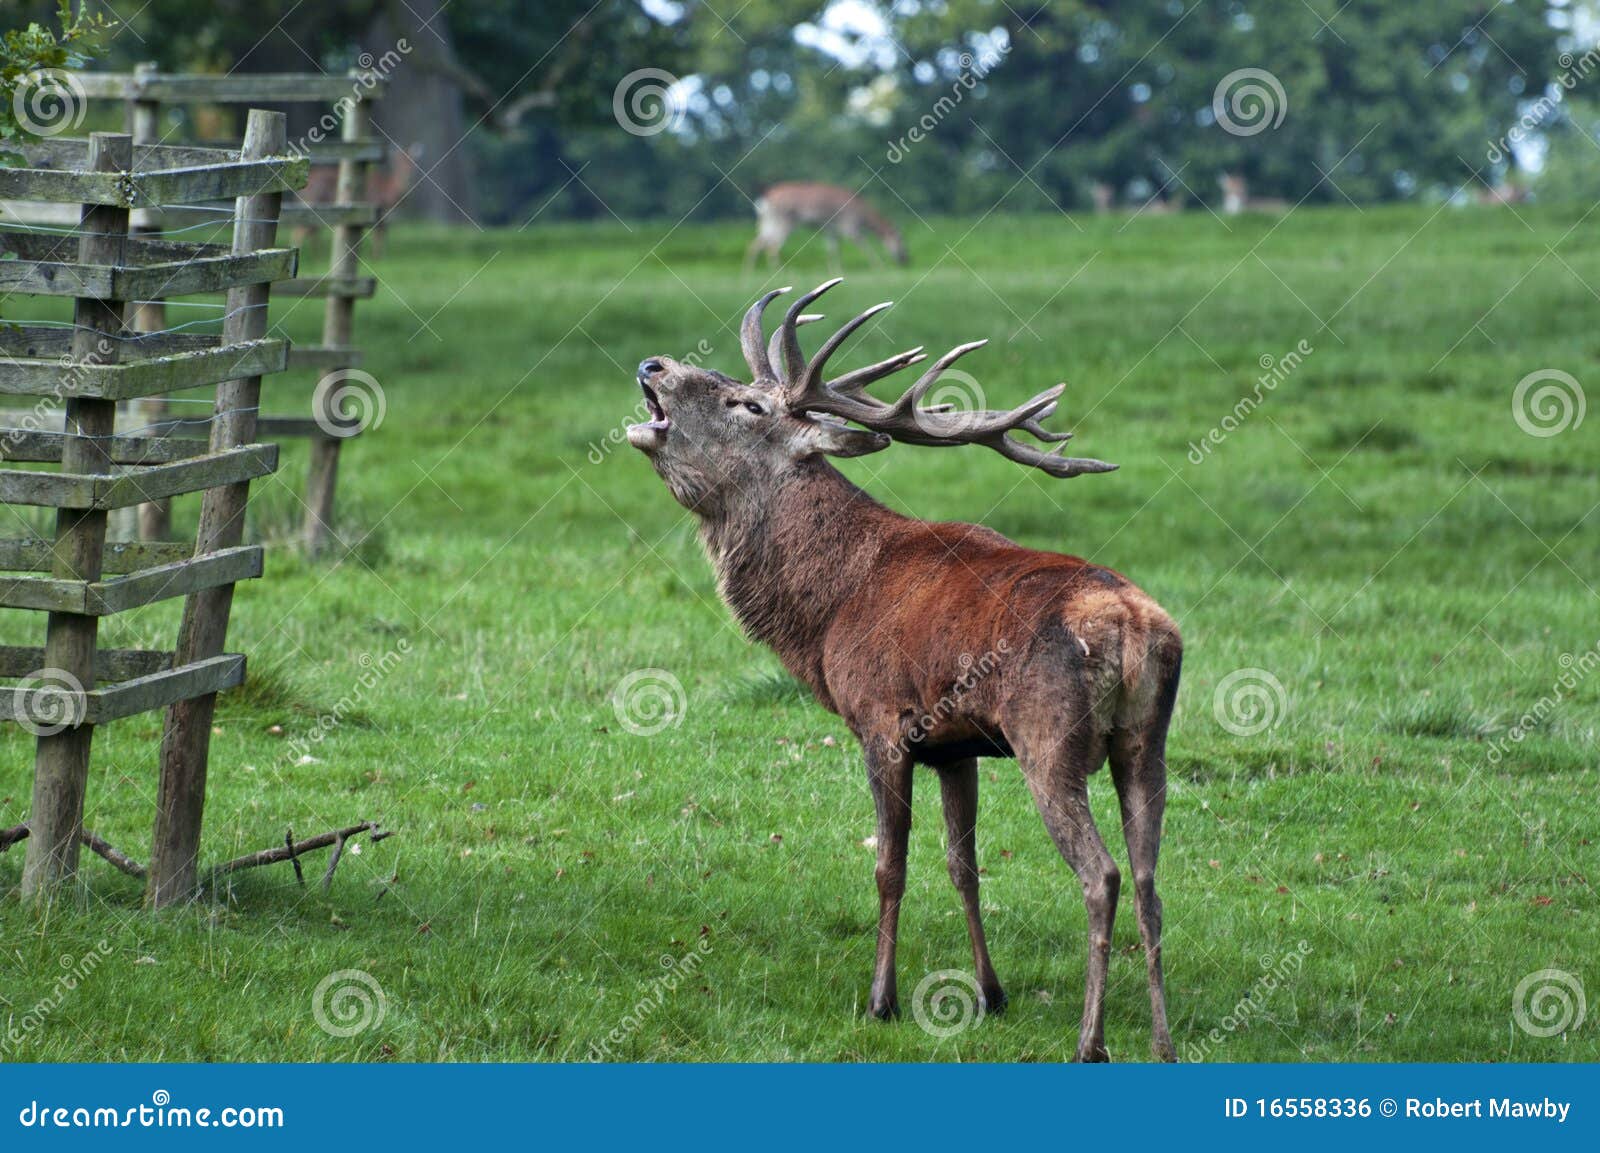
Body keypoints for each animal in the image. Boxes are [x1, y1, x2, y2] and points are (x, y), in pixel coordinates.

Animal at [626, 279, 1183, 1062]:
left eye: (748, 405)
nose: (654, 365)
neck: (830, 609)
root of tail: (1135, 629)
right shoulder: (956, 745)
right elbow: (964, 866)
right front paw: (990, 992)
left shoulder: (882, 722)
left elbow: (890, 867)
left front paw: (881, 999)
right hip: (1147, 741)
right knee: (1148, 878)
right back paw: (1162, 1041)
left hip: (1049, 738)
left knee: (1101, 874)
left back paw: (1090, 1042)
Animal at [745, 183, 908, 274]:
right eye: (900, 241)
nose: (906, 259)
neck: (863, 216)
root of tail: (764, 201)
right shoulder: (850, 226)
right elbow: (864, 246)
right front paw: (880, 266)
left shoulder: (831, 230)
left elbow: (833, 250)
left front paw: (835, 270)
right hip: (783, 221)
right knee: (772, 245)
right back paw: (779, 271)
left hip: (767, 222)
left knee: (756, 243)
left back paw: (748, 272)